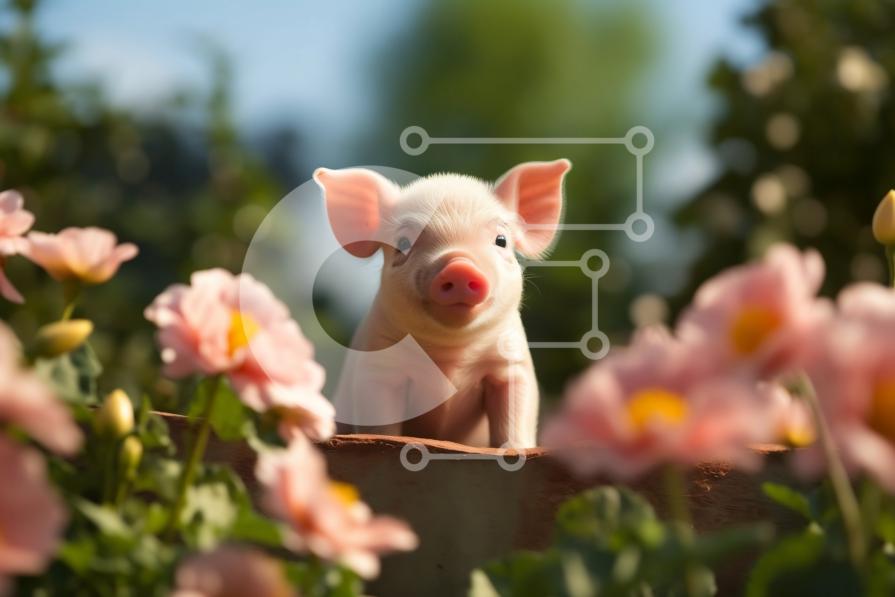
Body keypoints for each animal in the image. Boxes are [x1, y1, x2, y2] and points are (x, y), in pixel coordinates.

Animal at [313, 159, 571, 448]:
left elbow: (514, 411)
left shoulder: (512, 362)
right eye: (403, 243)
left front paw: (515, 449)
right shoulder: (379, 368)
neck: (450, 357)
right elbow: (381, 420)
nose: (459, 266)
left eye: (501, 240)